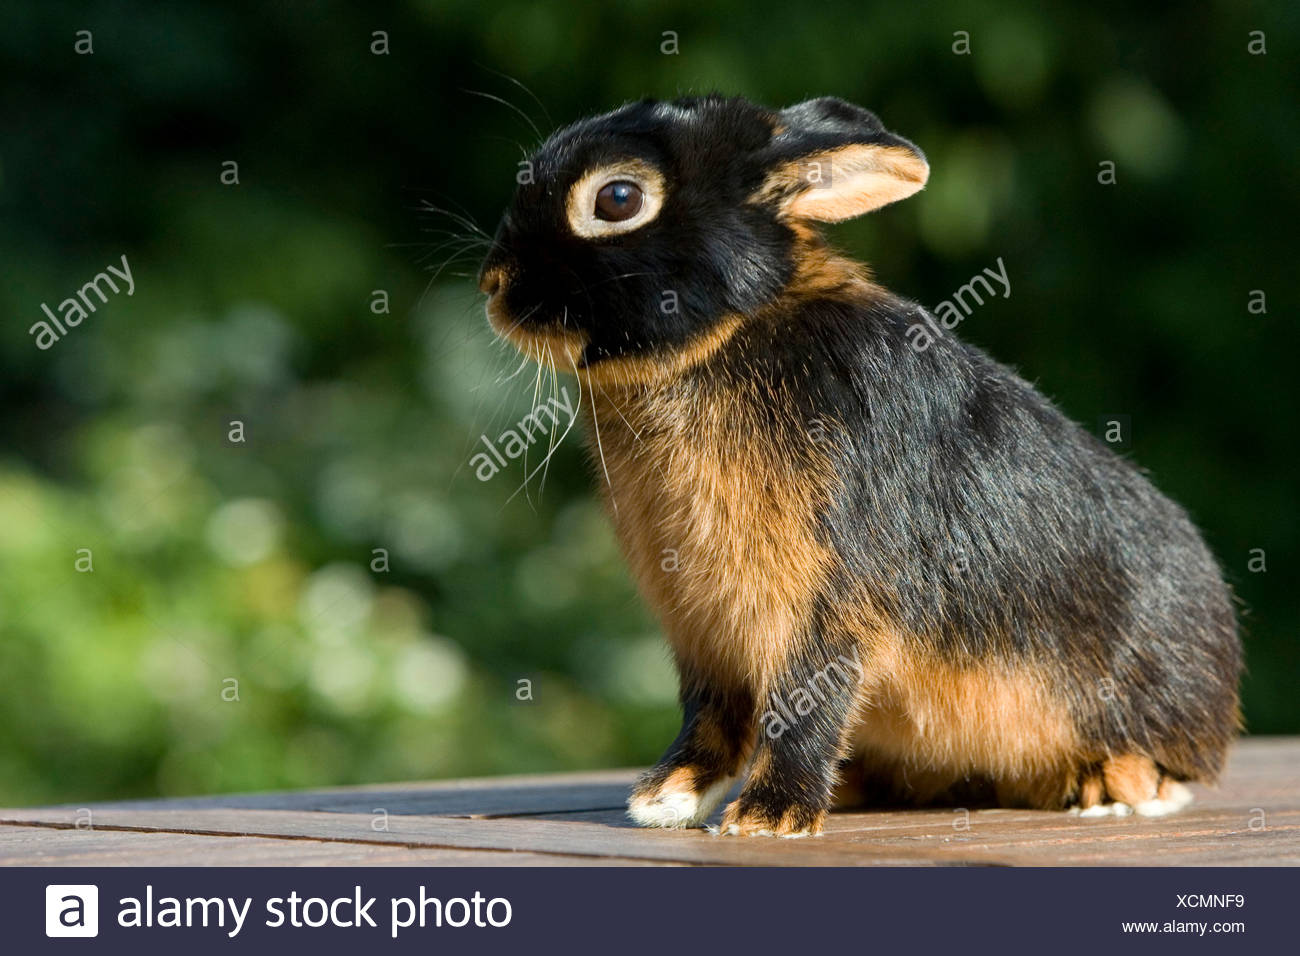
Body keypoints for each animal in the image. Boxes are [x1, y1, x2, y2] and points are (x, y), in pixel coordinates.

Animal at [477, 94, 1242, 837]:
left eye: (617, 198)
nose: (493, 282)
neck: (727, 335)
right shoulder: (702, 630)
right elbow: (711, 716)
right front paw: (667, 798)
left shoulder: (825, 600)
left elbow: (805, 699)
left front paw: (769, 817)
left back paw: (1113, 785)